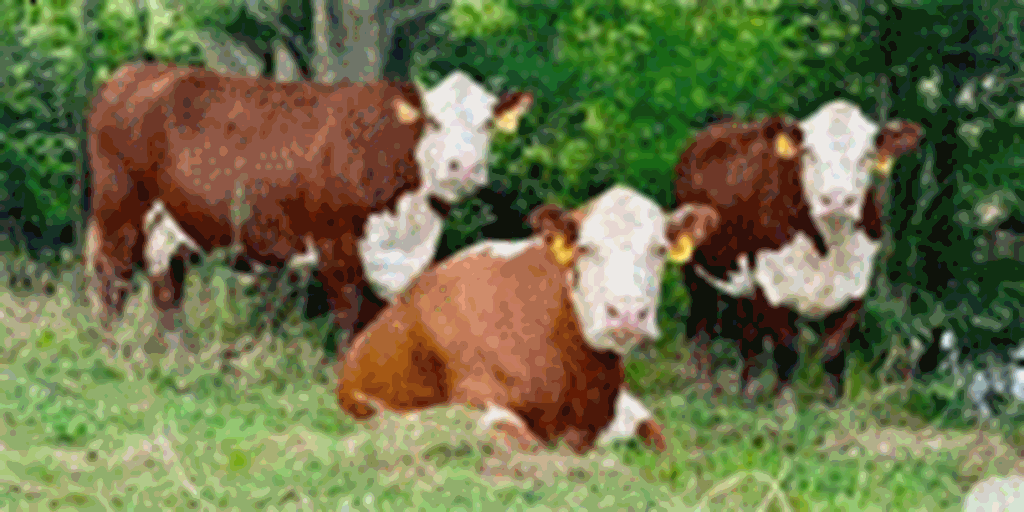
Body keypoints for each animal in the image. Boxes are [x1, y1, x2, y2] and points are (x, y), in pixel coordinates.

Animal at [84, 62, 534, 351]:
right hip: (119, 210)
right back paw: (110, 351)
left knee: (166, 281)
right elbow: (350, 317)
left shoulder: (402, 261)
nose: (464, 167)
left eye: (488, 124)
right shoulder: (336, 245)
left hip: (169, 223)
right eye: (434, 121)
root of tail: (135, 73)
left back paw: (178, 356)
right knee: (112, 278)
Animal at [334, 185, 722, 454]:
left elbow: (663, 443)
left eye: (660, 250)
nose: (627, 313)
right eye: (586, 248)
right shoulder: (478, 399)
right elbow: (531, 447)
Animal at [675, 99, 923, 404]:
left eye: (866, 155)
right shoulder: (772, 286)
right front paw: (785, 406)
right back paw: (704, 385)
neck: (827, 247)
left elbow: (833, 354)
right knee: (703, 323)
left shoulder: (856, 289)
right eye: (809, 153)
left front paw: (832, 405)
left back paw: (744, 393)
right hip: (696, 269)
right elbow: (787, 352)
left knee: (747, 338)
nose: (837, 200)